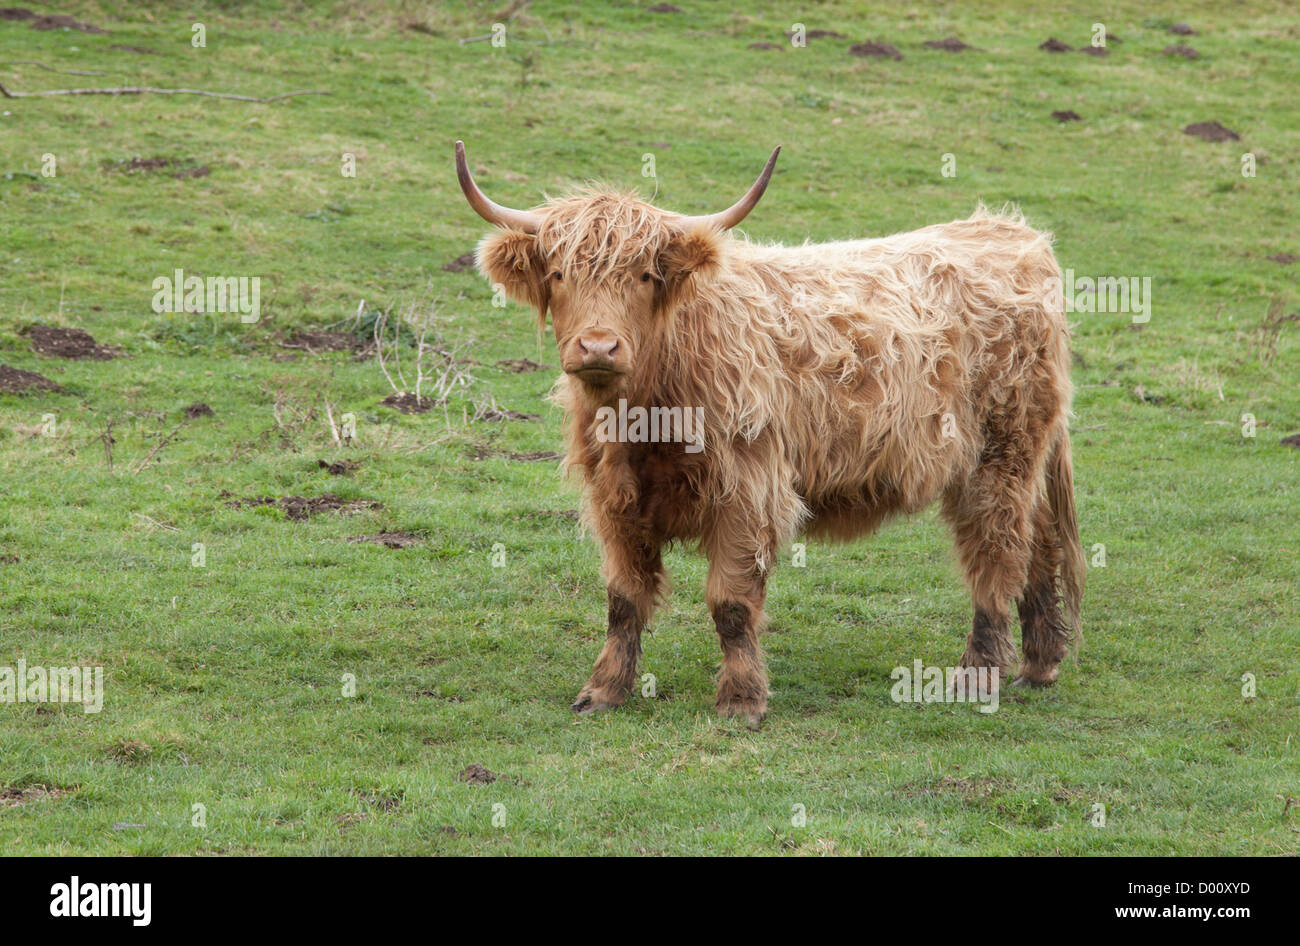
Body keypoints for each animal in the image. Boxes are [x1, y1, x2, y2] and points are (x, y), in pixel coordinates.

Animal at [455, 141, 1084, 727]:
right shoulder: (615, 499)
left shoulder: (749, 490)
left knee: (998, 552)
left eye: (645, 276)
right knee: (1039, 539)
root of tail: (1012, 233)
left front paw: (741, 701)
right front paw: (604, 690)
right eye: (559, 274)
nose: (598, 347)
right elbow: (623, 600)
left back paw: (979, 675)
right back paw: (1040, 663)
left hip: (1001, 453)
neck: (648, 415)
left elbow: (731, 604)